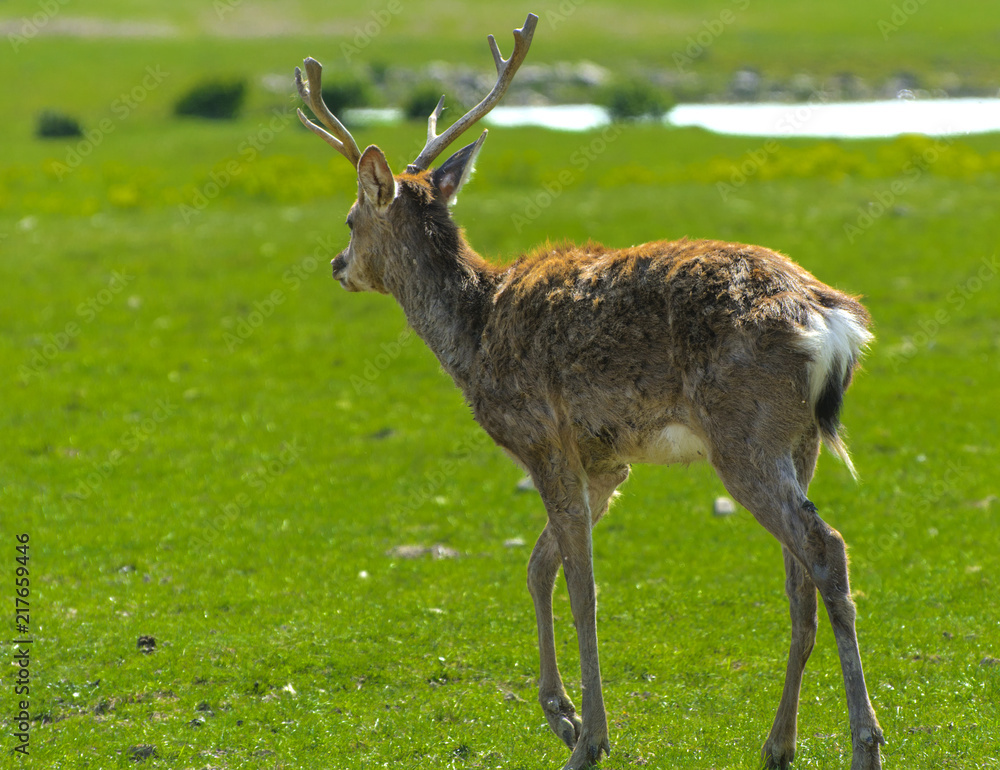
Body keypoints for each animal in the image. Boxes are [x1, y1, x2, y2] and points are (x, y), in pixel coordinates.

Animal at [294, 13, 884, 770]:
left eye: (349, 218)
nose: (339, 265)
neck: (473, 334)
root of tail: (833, 319)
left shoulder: (541, 435)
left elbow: (580, 586)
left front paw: (591, 737)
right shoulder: (606, 459)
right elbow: (537, 566)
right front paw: (562, 715)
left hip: (744, 432)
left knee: (824, 548)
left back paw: (865, 741)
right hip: (799, 439)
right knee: (798, 580)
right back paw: (779, 742)